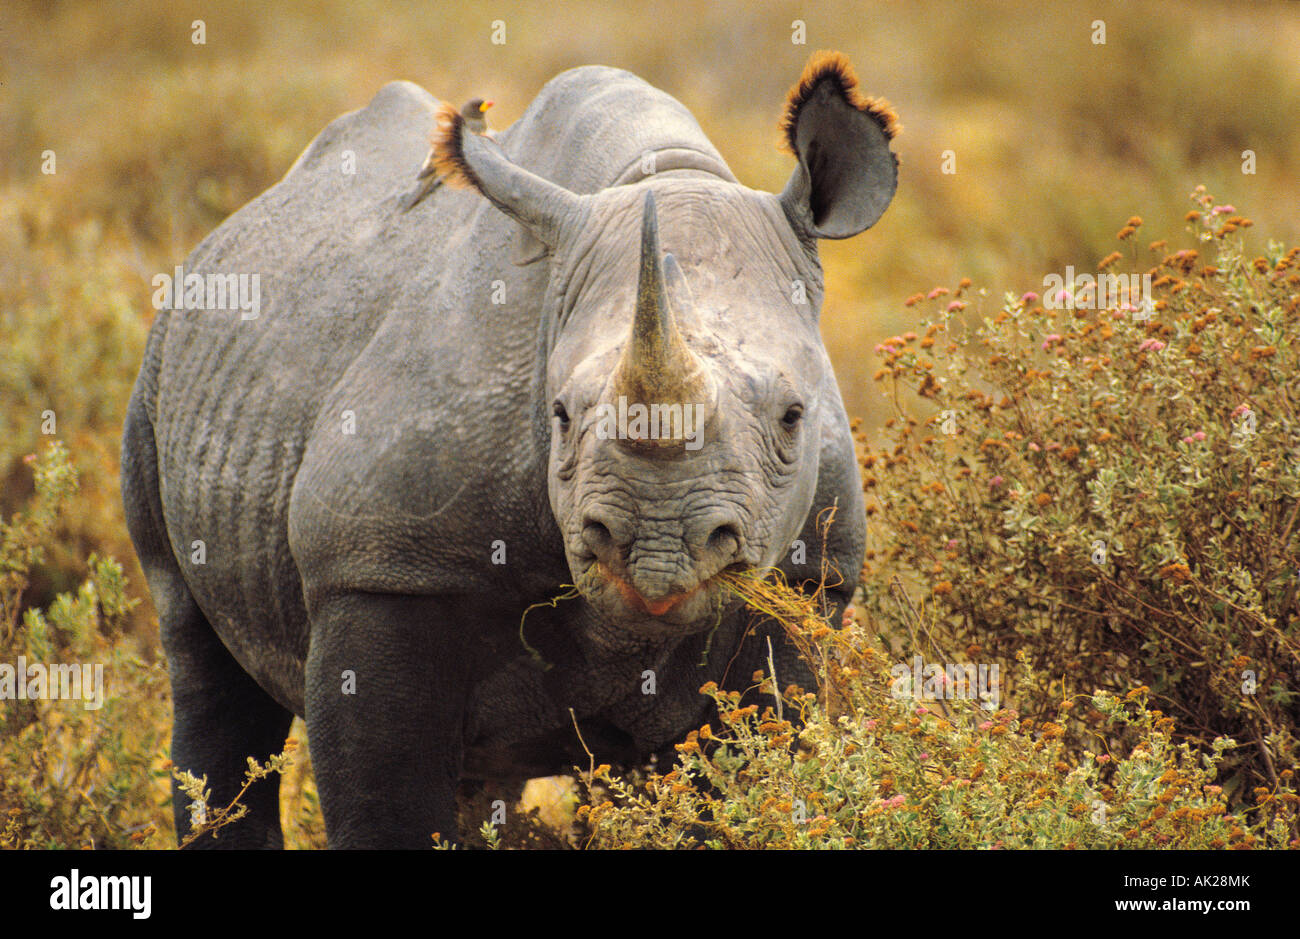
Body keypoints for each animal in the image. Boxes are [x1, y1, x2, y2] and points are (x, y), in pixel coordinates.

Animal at [121, 50, 898, 848]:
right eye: (559, 415)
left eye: (793, 416)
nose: (657, 548)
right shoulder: (378, 565)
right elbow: (388, 806)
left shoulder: (808, 581)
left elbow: (747, 782)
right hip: (162, 370)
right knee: (201, 661)